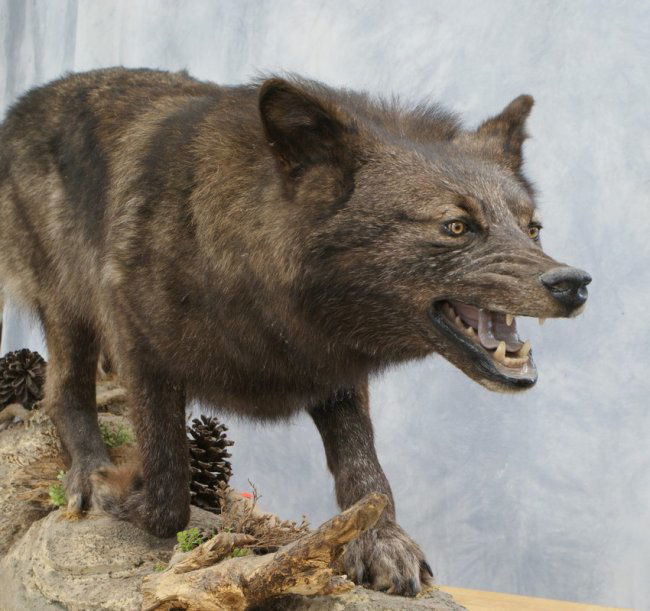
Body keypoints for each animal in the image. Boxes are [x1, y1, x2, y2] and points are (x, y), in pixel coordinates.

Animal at [0, 68, 590, 596]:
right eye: (457, 226)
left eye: (533, 228)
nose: (574, 282)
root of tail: (23, 107)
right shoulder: (140, 345)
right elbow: (168, 488)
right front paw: (121, 491)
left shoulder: (335, 370)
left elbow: (367, 472)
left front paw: (380, 543)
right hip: (68, 306)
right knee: (62, 391)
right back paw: (86, 471)